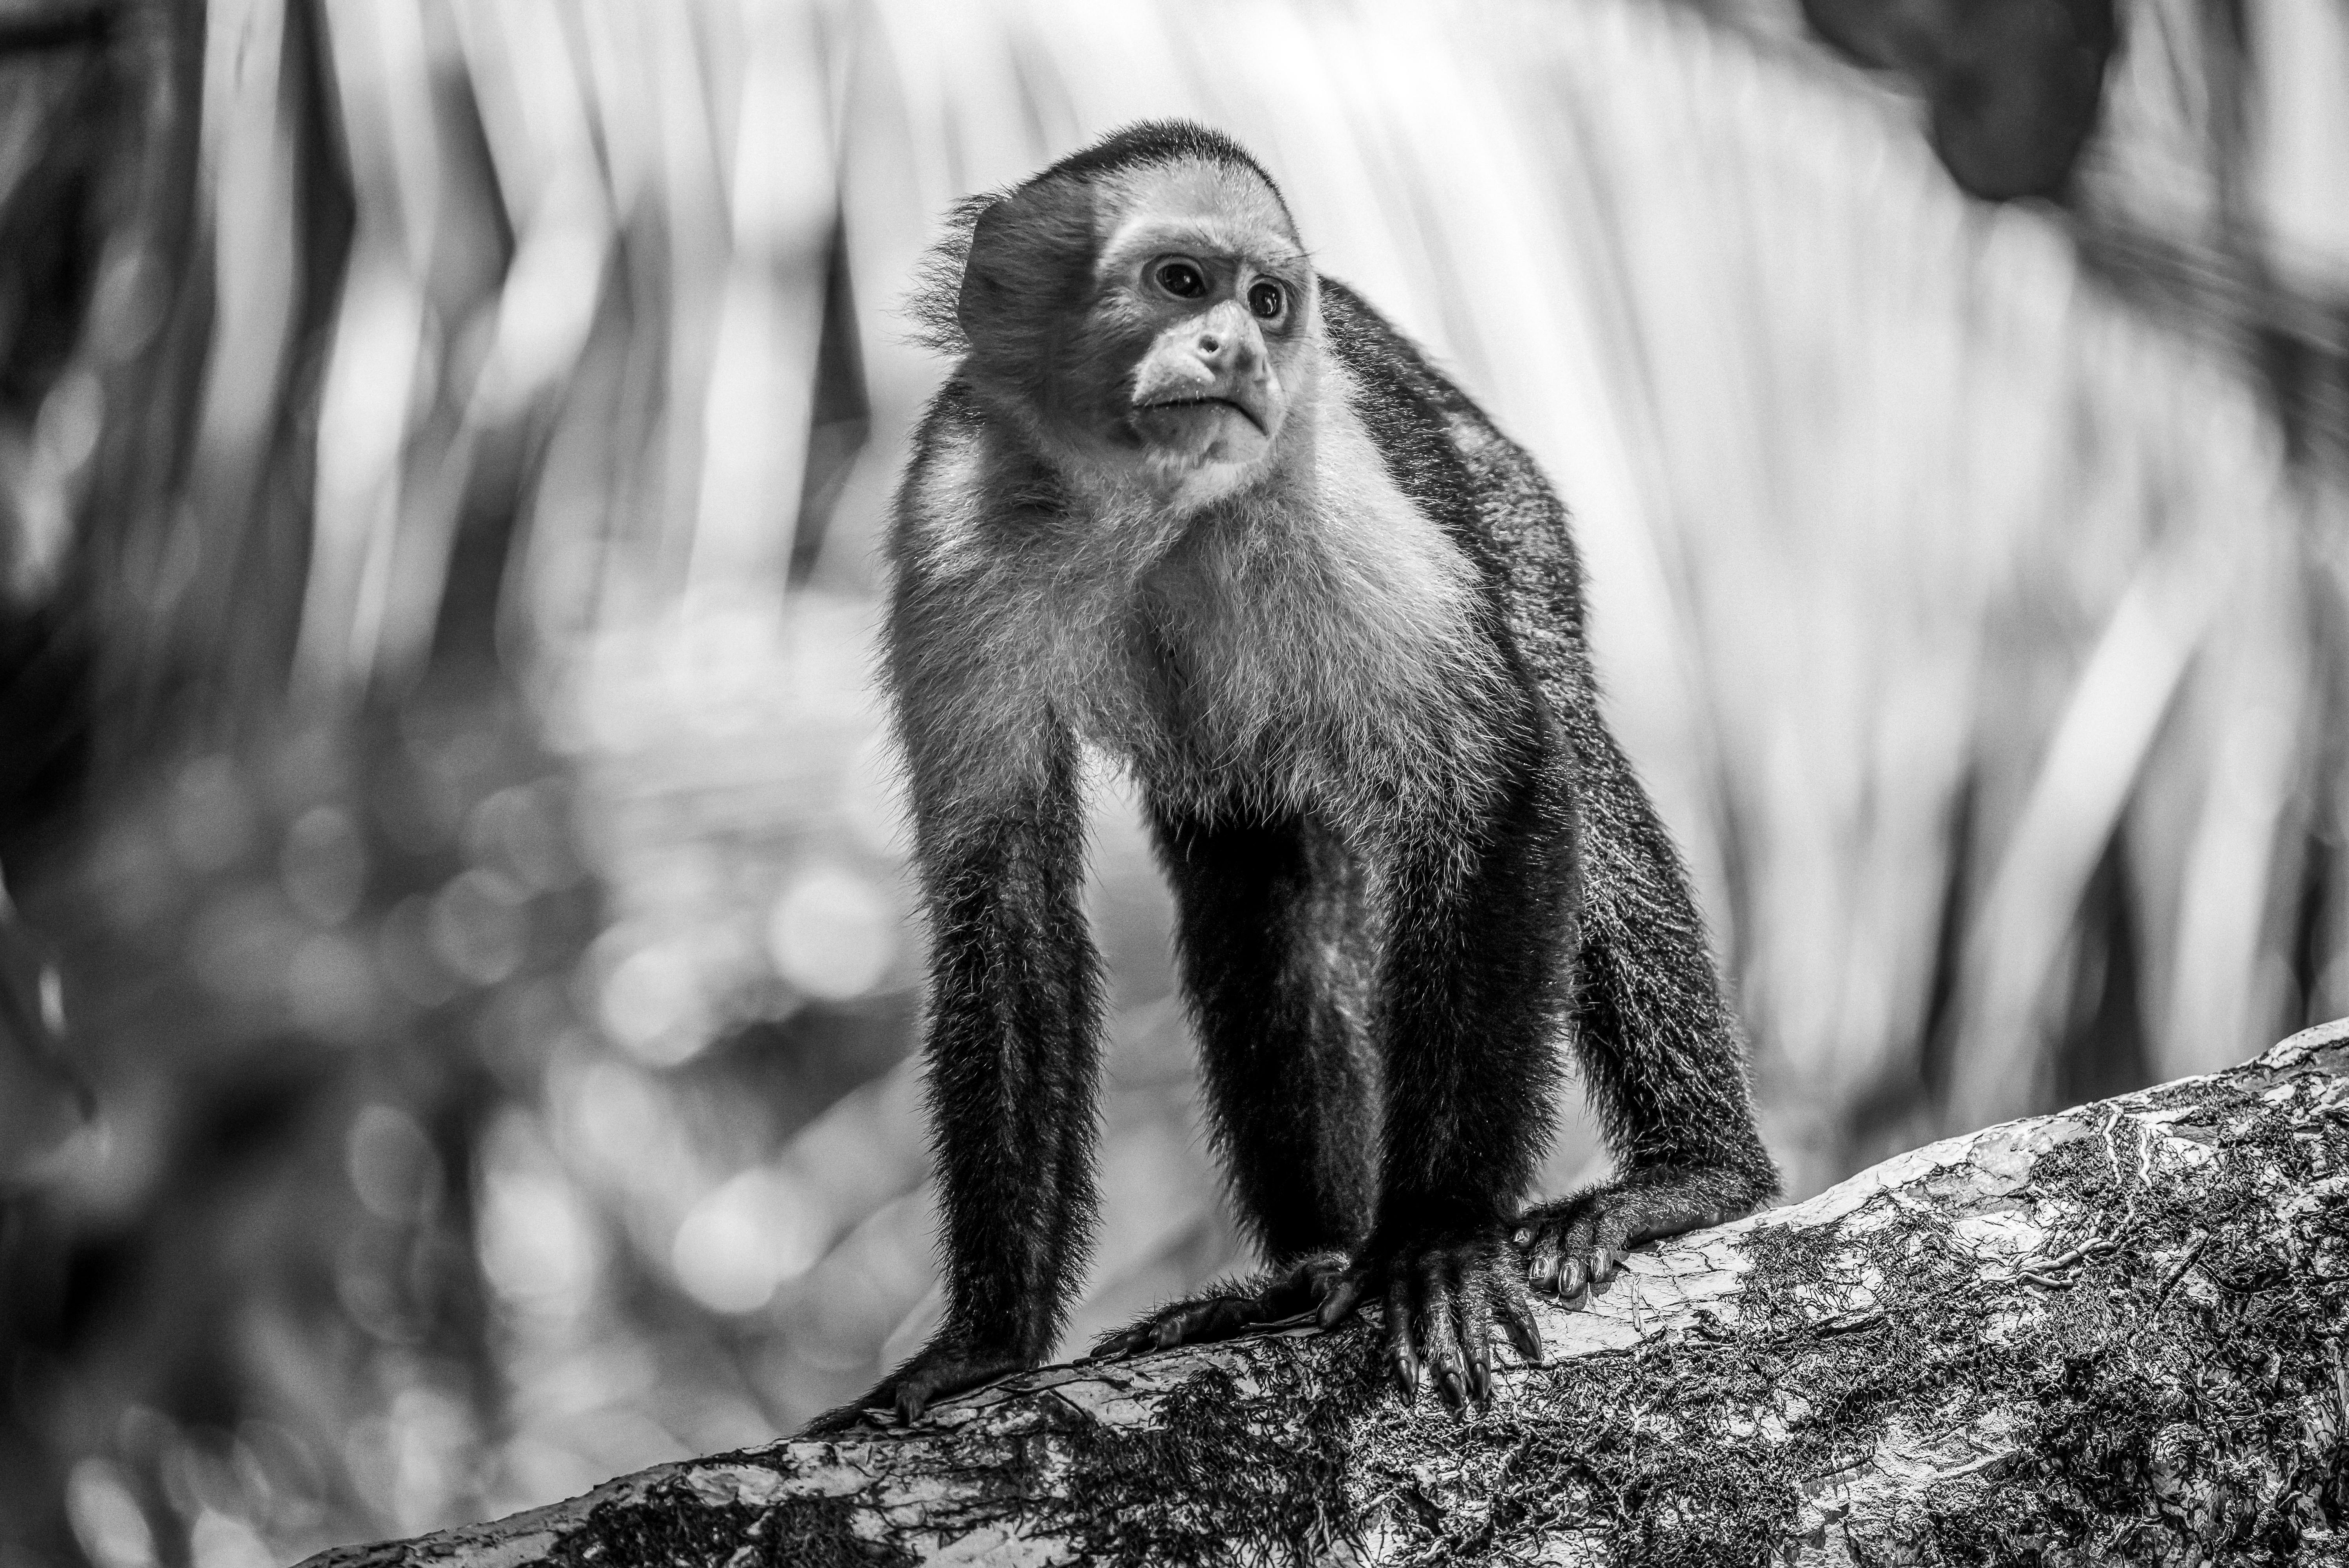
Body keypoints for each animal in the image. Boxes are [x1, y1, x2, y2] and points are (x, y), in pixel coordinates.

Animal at [836, 121, 1777, 1427]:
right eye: (1183, 282)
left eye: (1268, 303)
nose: (1237, 348)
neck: (1141, 501)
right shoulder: (952, 509)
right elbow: (1005, 894)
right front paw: (986, 1338)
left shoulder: (1319, 481)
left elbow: (1495, 776)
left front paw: (1440, 1240)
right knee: (1254, 884)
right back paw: (1307, 1265)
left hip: (1512, 509)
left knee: (1562, 734)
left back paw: (1695, 1174)